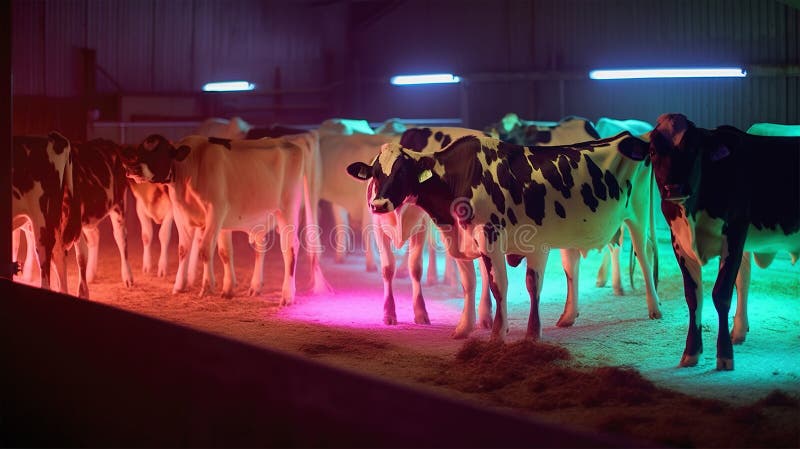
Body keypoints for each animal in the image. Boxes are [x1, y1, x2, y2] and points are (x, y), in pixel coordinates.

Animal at [124, 132, 329, 303]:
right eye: (139, 150)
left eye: (158, 152)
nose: (131, 167)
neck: (189, 168)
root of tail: (290, 142)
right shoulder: (183, 213)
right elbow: (199, 251)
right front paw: (183, 287)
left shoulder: (216, 210)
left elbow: (205, 250)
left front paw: (207, 287)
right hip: (264, 214)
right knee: (261, 247)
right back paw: (255, 287)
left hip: (287, 209)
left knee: (290, 248)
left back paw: (287, 295)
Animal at [347, 131, 661, 341]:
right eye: (375, 172)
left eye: (402, 172)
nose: (378, 204)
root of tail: (629, 137)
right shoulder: (460, 240)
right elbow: (469, 284)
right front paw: (464, 328)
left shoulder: (499, 240)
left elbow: (508, 286)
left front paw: (506, 333)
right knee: (572, 268)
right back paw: (568, 317)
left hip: (637, 213)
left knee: (645, 257)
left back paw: (655, 309)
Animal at [630, 113, 800, 370]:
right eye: (652, 151)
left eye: (693, 149)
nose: (674, 188)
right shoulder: (679, 242)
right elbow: (693, 296)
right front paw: (691, 353)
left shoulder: (735, 235)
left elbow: (721, 294)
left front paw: (725, 356)